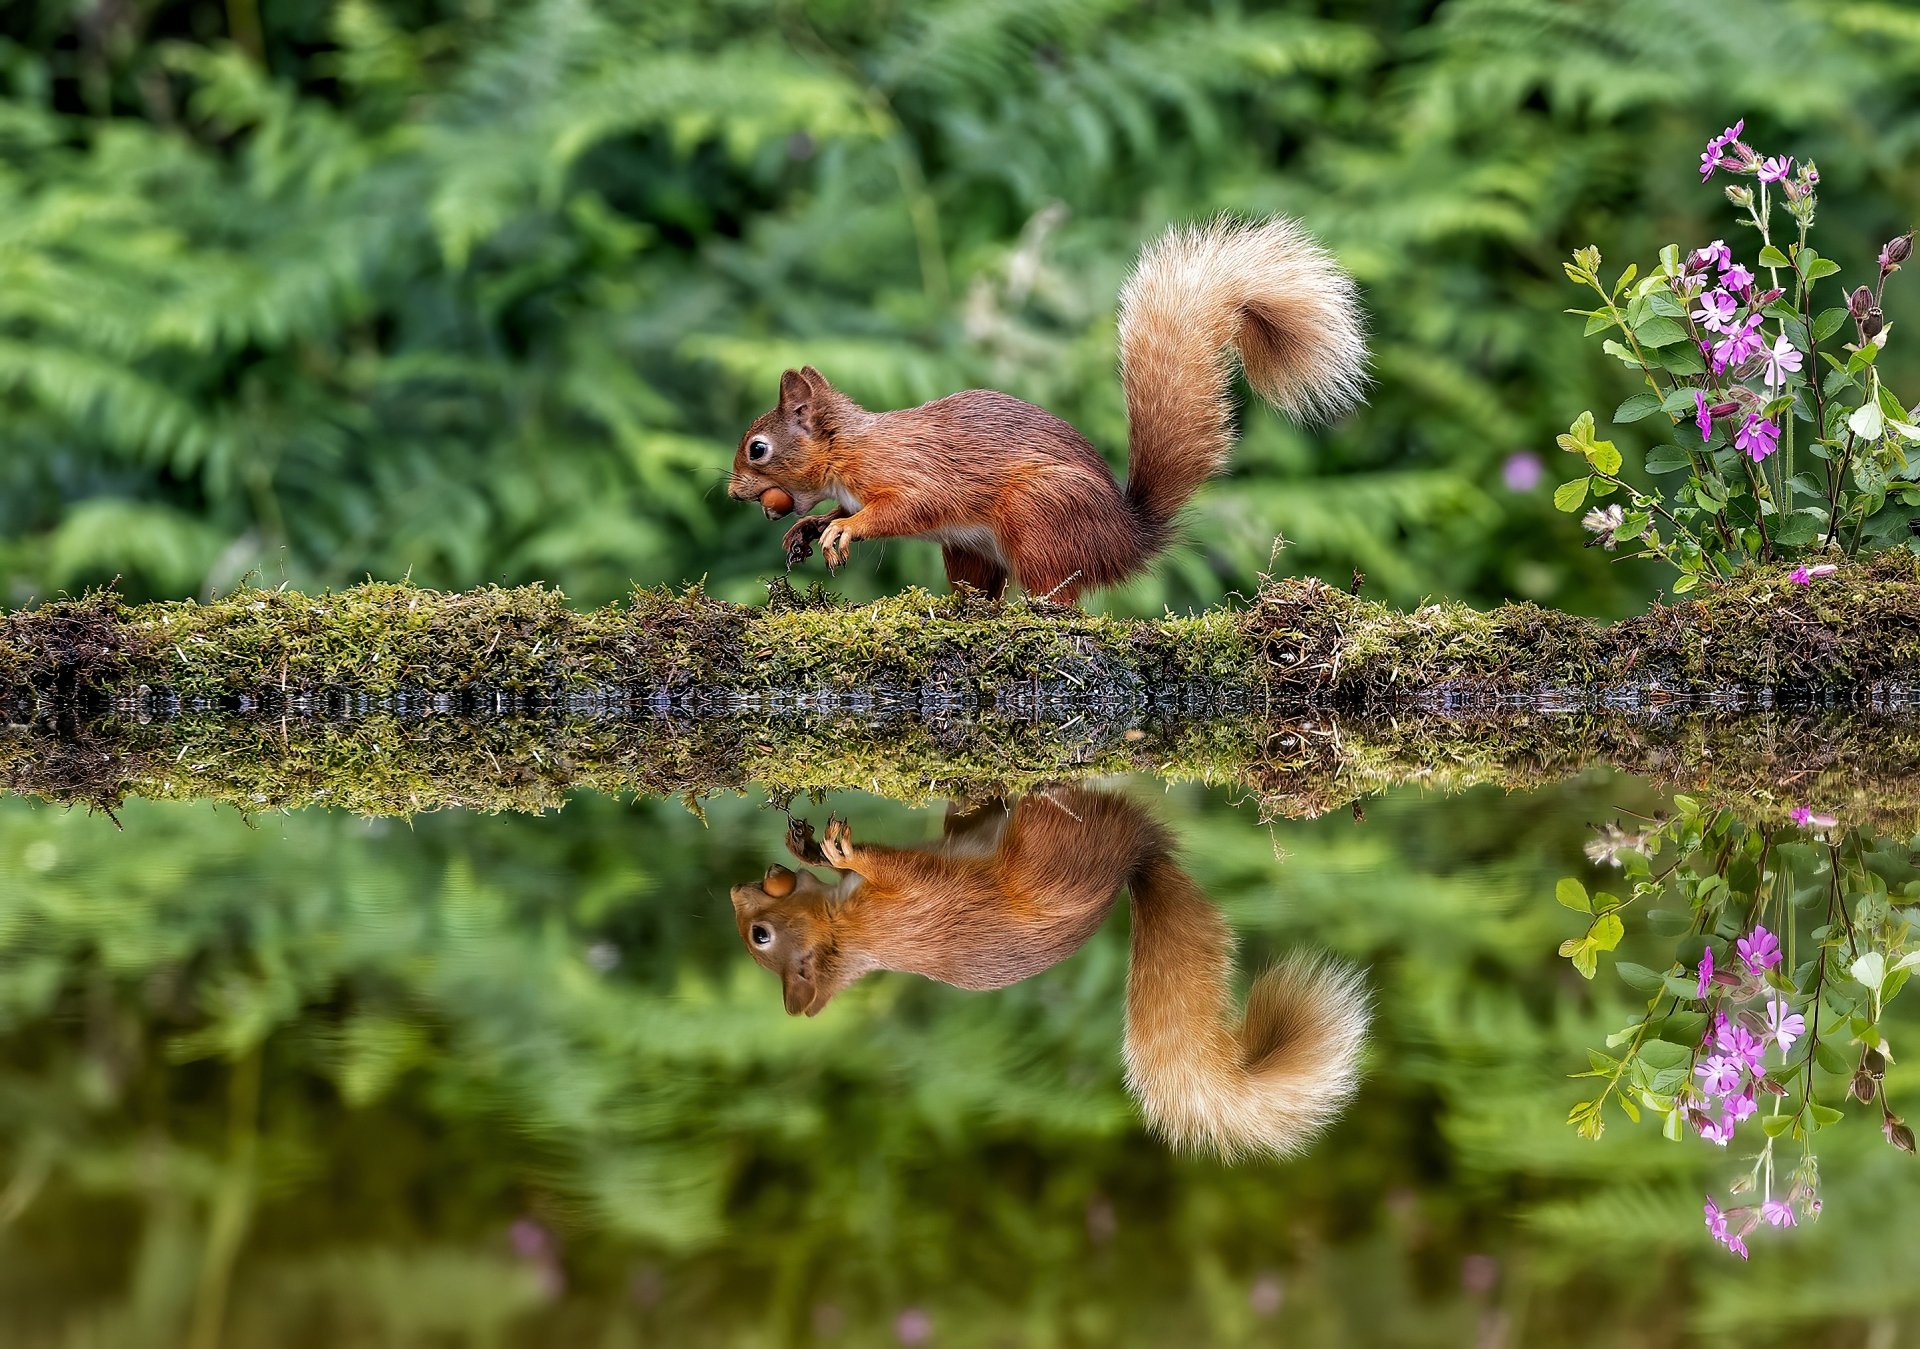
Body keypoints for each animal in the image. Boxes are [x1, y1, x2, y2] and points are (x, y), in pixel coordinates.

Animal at [725, 216, 1366, 605]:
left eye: (759, 449)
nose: (732, 492)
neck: (850, 447)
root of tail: (1124, 539)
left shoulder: (906, 471)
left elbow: (906, 507)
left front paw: (844, 529)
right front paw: (809, 529)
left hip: (1036, 517)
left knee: (1059, 599)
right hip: (970, 548)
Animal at [728, 788, 1371, 1160]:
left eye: (760, 934)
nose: (737, 890)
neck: (844, 930)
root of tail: (1135, 855)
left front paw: (811, 846)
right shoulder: (902, 902)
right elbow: (893, 866)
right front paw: (839, 850)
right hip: (1050, 839)